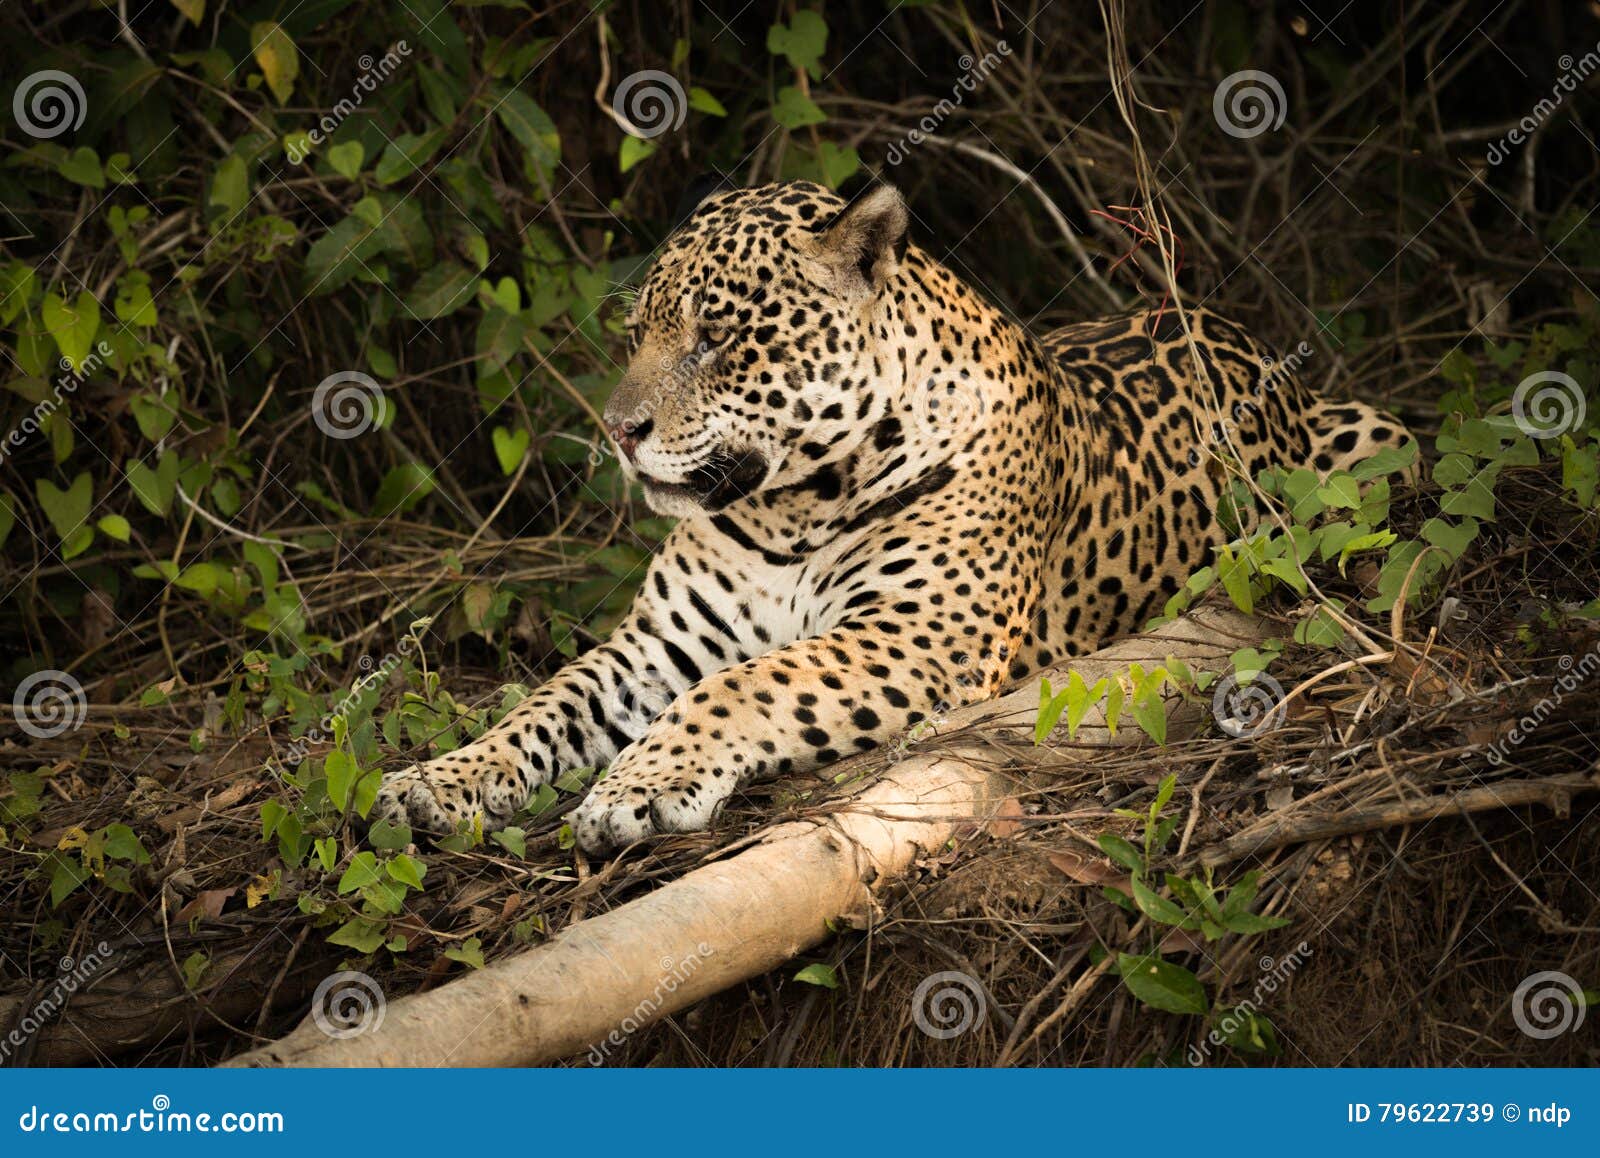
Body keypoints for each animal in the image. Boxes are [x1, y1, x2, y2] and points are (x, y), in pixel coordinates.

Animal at [371, 179, 1411, 854]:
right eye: (638, 335)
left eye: (717, 337)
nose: (618, 432)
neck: (788, 506)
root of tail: (1227, 325)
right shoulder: (658, 645)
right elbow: (548, 702)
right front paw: (437, 780)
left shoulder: (917, 636)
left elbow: (746, 684)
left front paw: (639, 787)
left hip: (1372, 437)